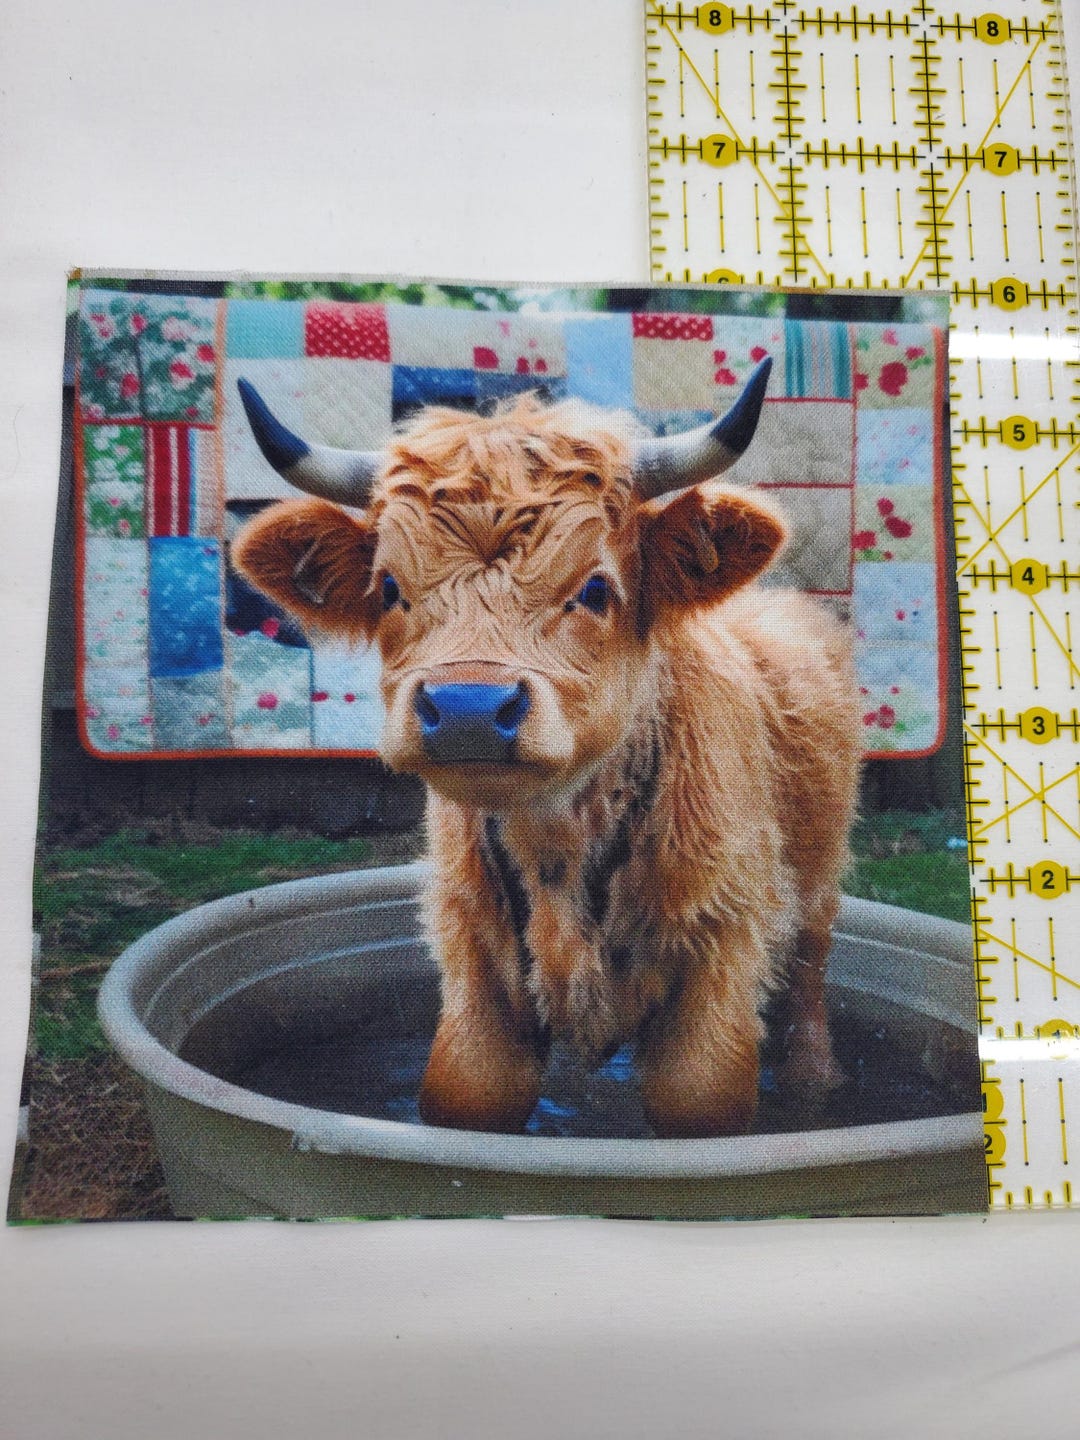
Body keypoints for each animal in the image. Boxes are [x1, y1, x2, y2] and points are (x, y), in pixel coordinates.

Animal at [231, 358, 862, 1138]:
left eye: (593, 588)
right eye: (390, 588)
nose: (468, 709)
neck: (559, 841)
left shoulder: (724, 944)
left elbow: (698, 1101)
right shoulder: (474, 961)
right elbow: (469, 1092)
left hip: (820, 873)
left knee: (810, 971)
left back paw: (812, 1081)